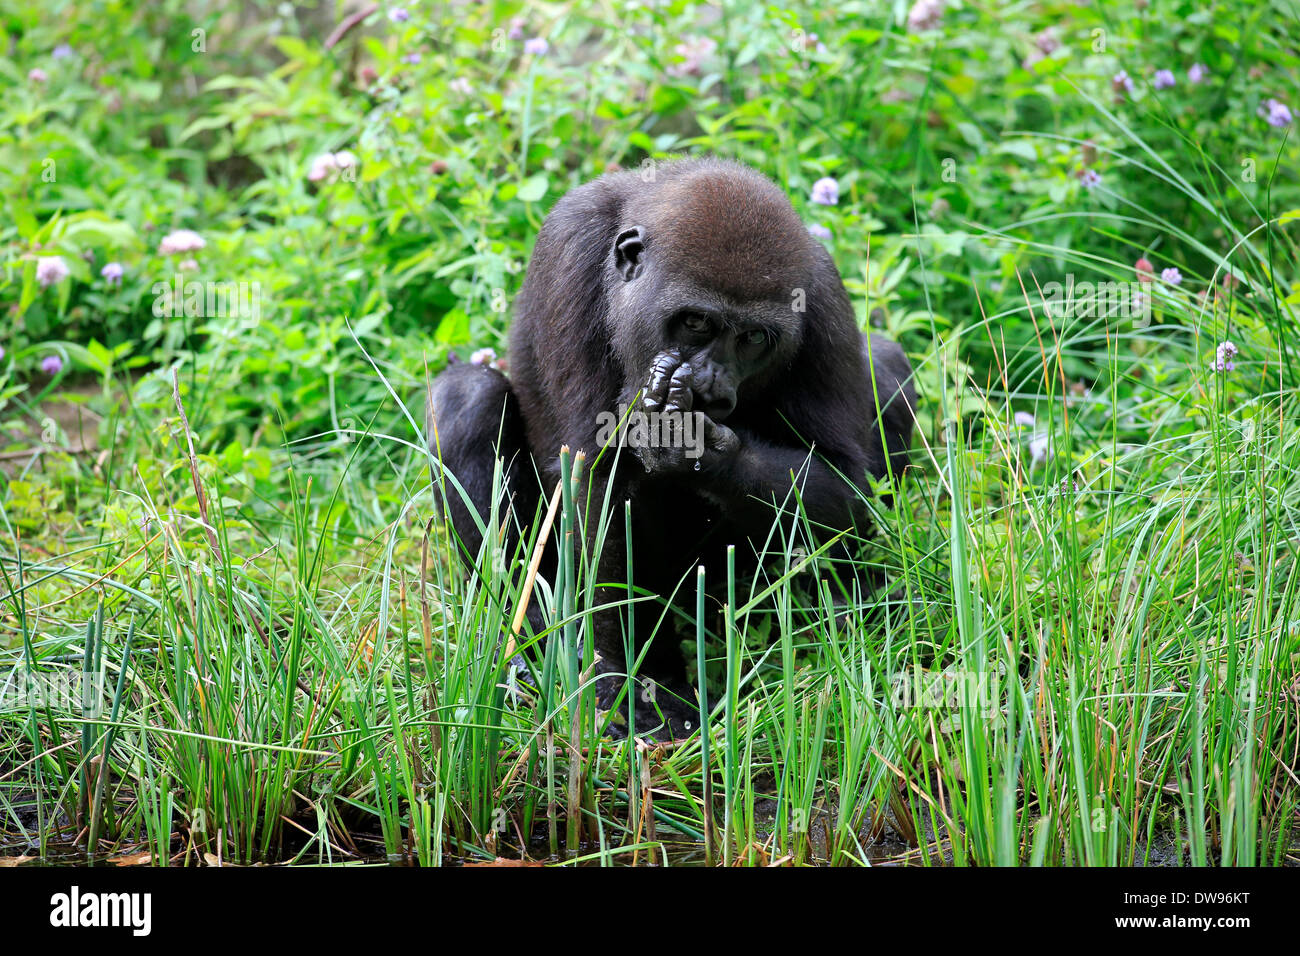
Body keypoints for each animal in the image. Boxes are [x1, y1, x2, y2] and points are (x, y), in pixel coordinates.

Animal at [425, 157, 915, 739]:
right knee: (467, 397)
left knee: (886, 363)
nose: (709, 388)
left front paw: (703, 449)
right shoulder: (571, 246)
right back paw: (529, 641)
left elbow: (845, 484)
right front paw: (628, 686)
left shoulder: (819, 290)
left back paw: (851, 605)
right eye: (696, 321)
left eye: (754, 338)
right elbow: (598, 482)